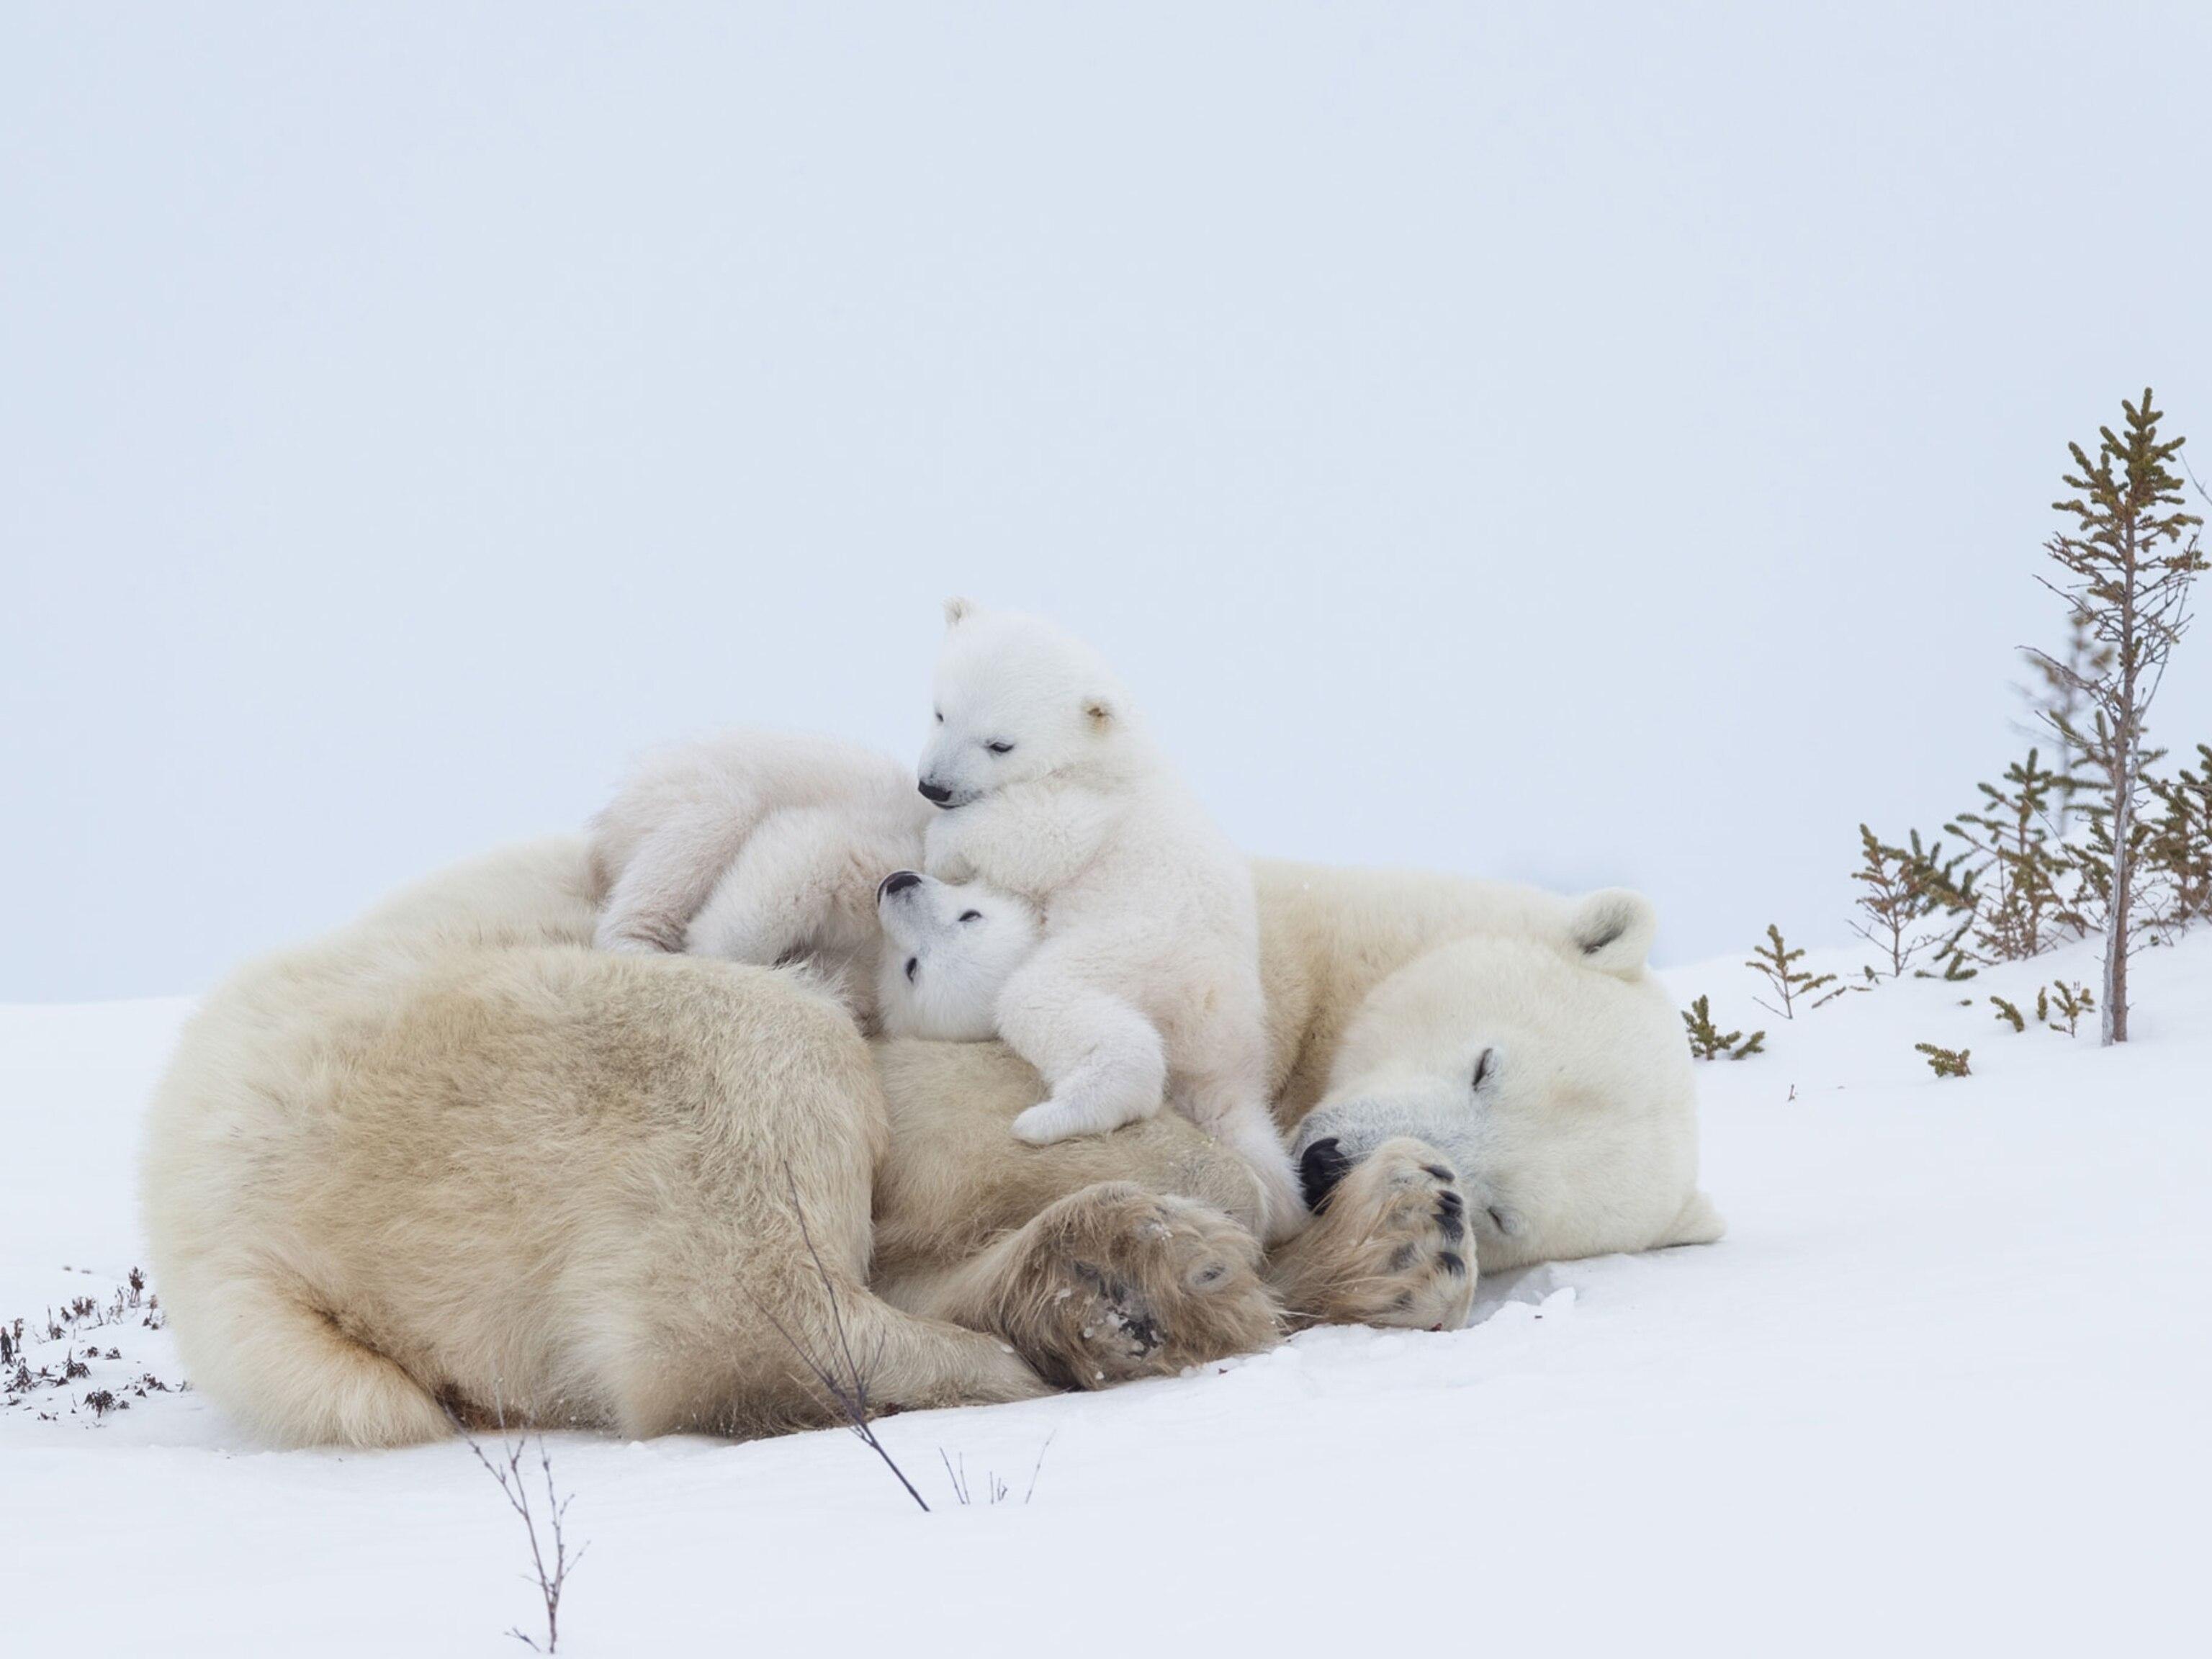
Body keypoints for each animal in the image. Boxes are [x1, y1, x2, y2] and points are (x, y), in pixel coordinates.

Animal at [140, 838, 1721, 1447]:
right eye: (1484, 1054)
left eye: (1517, 1208)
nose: (1335, 1160)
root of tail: (217, 1243)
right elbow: (987, 1103)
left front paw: (1408, 1229)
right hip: (487, 1051)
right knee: (760, 1139)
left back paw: (1177, 1284)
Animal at [918, 599, 1306, 1242]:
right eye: (940, 711)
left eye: (1000, 744)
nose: (933, 786)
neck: (1112, 748)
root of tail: (1214, 1010)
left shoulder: (1092, 804)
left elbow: (1037, 839)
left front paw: (942, 847)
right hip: (1223, 1045)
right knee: (1234, 1117)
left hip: (1129, 949)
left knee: (1052, 1003)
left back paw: (1058, 1116)